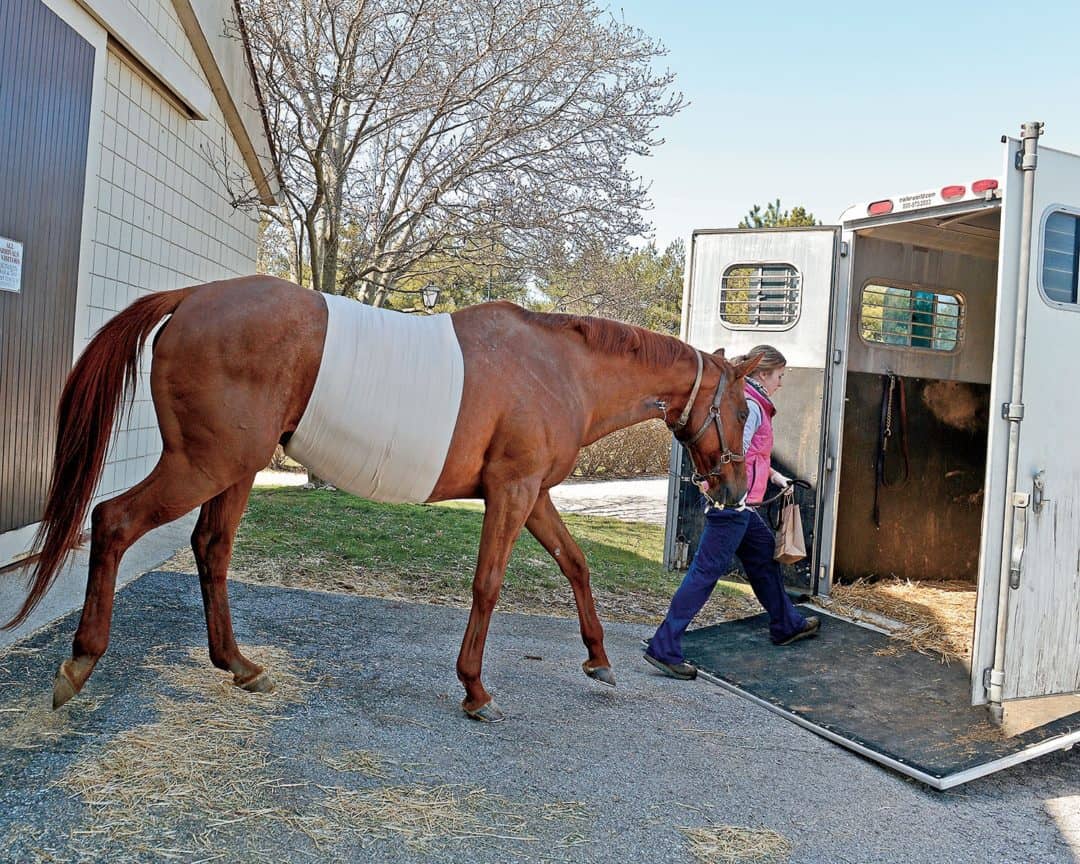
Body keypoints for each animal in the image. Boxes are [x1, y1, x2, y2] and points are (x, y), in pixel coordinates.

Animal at [4, 276, 759, 722]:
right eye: (745, 412)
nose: (730, 490)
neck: (559, 367)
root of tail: (193, 295)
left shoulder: (533, 493)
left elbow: (576, 563)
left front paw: (599, 658)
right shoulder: (513, 492)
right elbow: (488, 585)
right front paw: (475, 689)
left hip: (233, 469)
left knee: (209, 548)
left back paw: (239, 665)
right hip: (203, 463)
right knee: (113, 521)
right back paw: (80, 662)